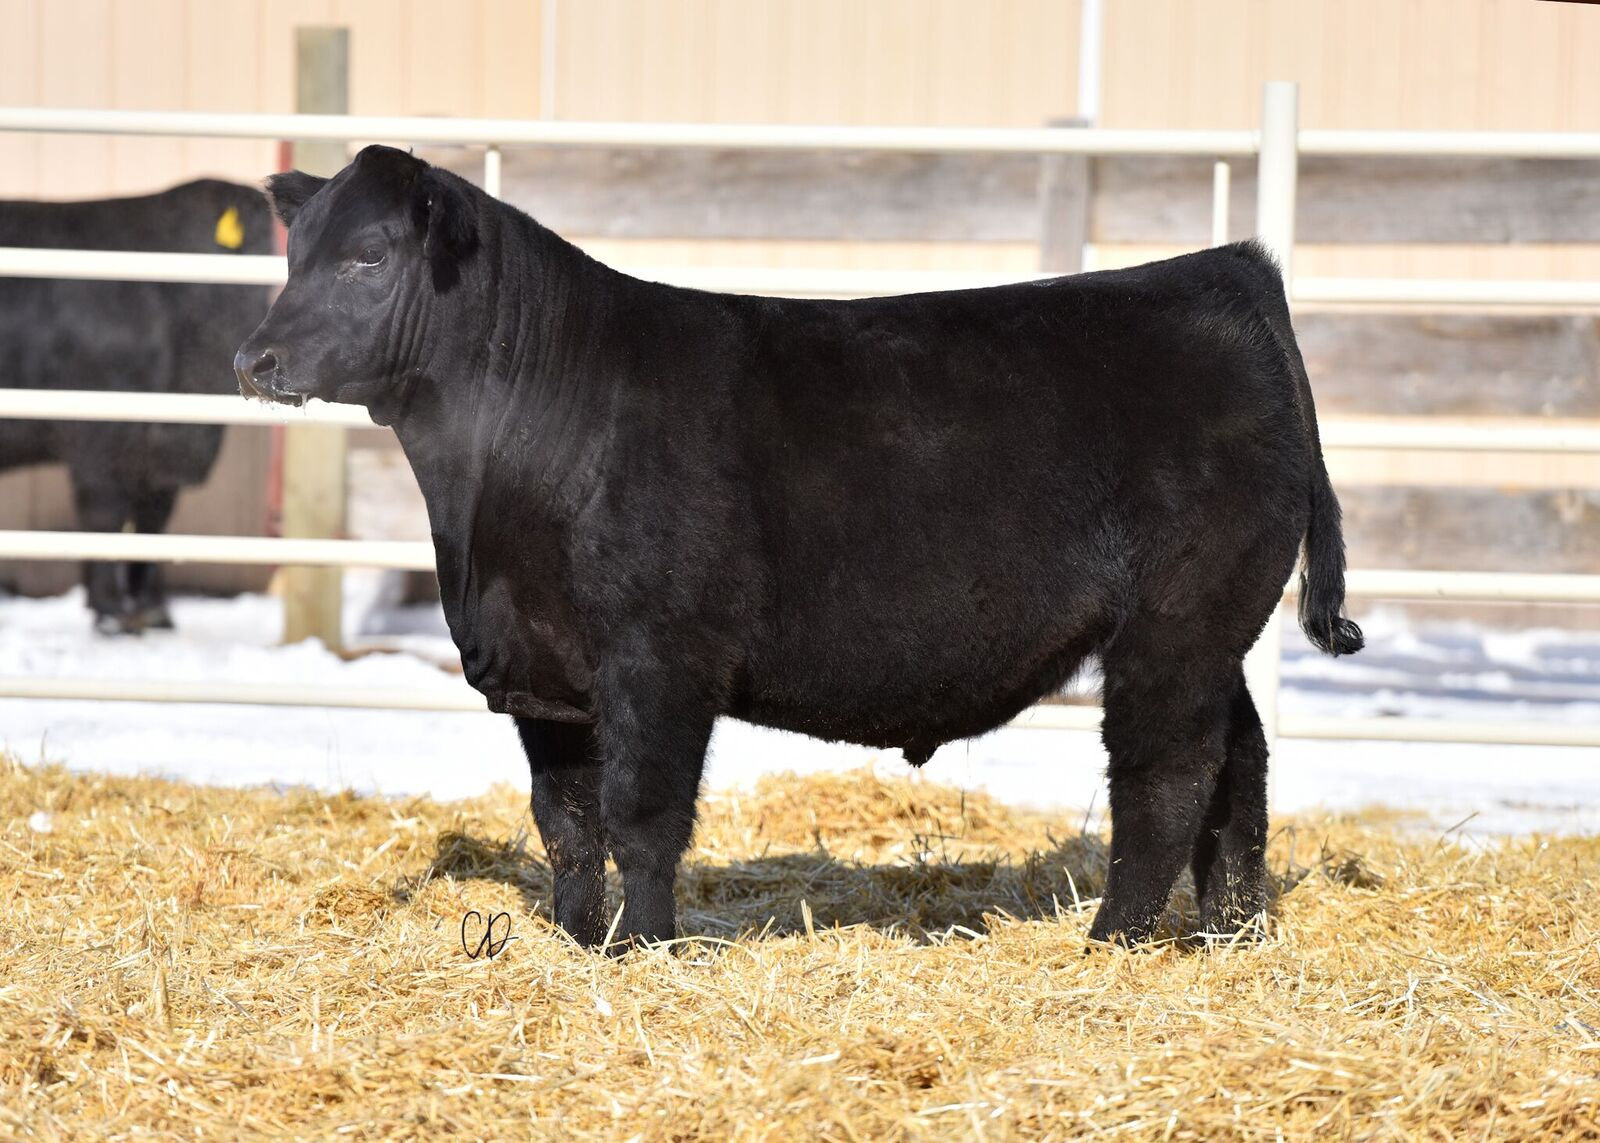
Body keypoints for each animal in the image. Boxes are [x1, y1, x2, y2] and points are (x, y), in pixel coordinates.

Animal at [0, 179, 274, 634]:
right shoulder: (99, 434)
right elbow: (103, 515)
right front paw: (110, 610)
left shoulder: (164, 450)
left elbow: (154, 519)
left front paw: (153, 608)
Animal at [236, 145, 1363, 951]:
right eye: (294, 254)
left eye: (370, 254)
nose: (255, 359)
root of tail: (1226, 272)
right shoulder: (543, 675)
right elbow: (566, 821)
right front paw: (580, 944)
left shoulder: (660, 658)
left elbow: (642, 814)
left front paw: (644, 949)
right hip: (1214, 634)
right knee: (1241, 762)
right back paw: (1230, 931)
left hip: (1175, 625)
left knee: (1165, 775)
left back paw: (1113, 943)